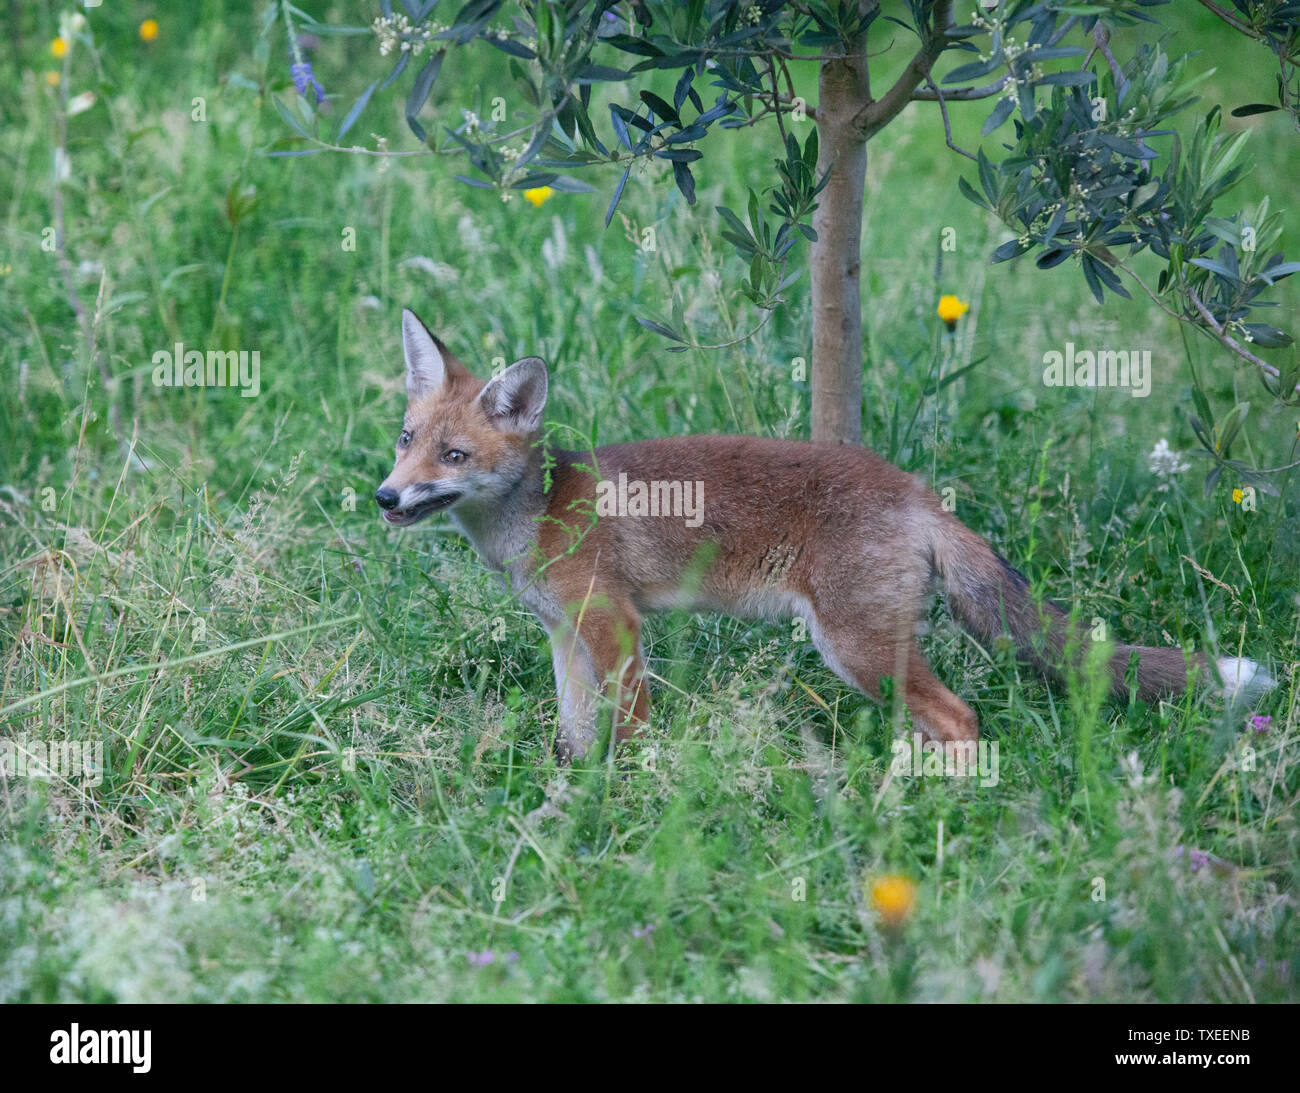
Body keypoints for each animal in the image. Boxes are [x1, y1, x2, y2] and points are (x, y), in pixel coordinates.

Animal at [377, 309, 1272, 761]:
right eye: (406, 439)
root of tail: (912, 488)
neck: (537, 517)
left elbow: (630, 726)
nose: (384, 497)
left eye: (454, 456)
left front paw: (628, 796)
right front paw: (570, 796)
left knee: (961, 718)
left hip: (854, 645)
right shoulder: (567, 633)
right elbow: (573, 732)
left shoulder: (615, 624)